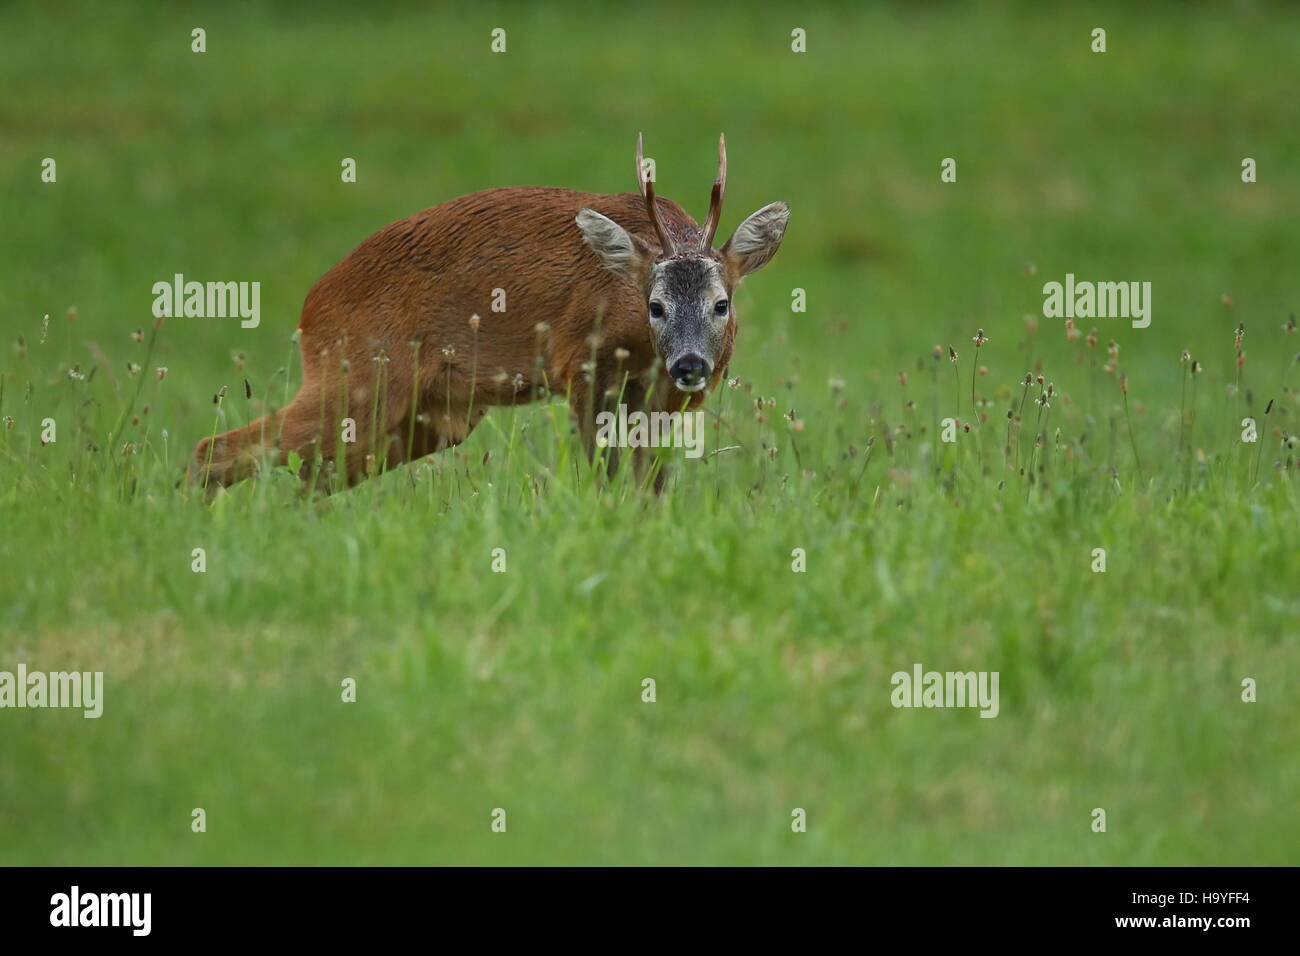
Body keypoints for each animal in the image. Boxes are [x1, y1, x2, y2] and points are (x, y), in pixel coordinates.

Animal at [189, 134, 789, 492]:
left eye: (721, 303)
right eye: (655, 305)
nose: (690, 364)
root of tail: (312, 304)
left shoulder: (671, 397)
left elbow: (652, 482)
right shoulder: (582, 362)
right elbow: (603, 470)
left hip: (424, 418)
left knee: (310, 475)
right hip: (358, 378)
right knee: (217, 449)